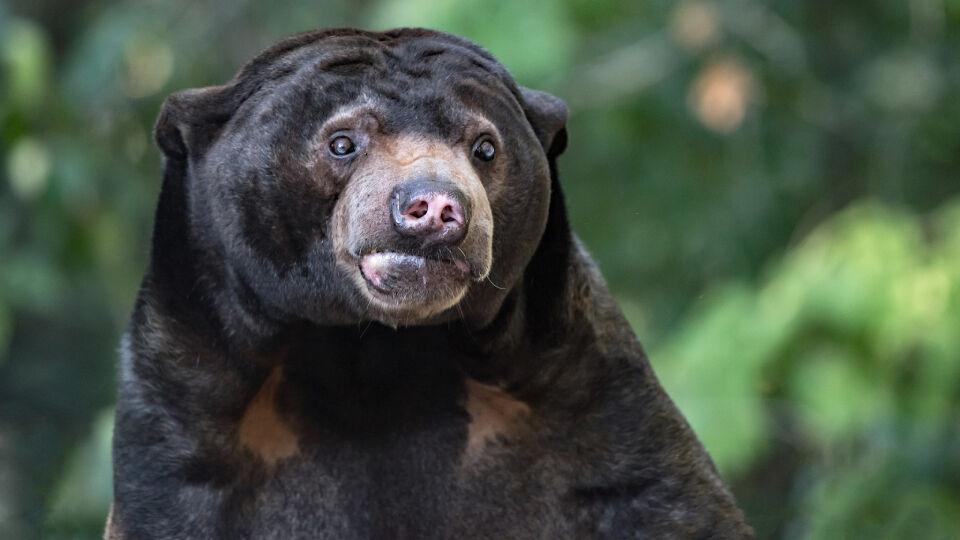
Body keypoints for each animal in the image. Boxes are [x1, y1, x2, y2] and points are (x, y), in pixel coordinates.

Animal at [107, 28, 753, 539]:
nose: (436, 207)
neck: (372, 352)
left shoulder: (588, 396)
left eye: (485, 147)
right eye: (342, 142)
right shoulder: (185, 425)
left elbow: (667, 499)